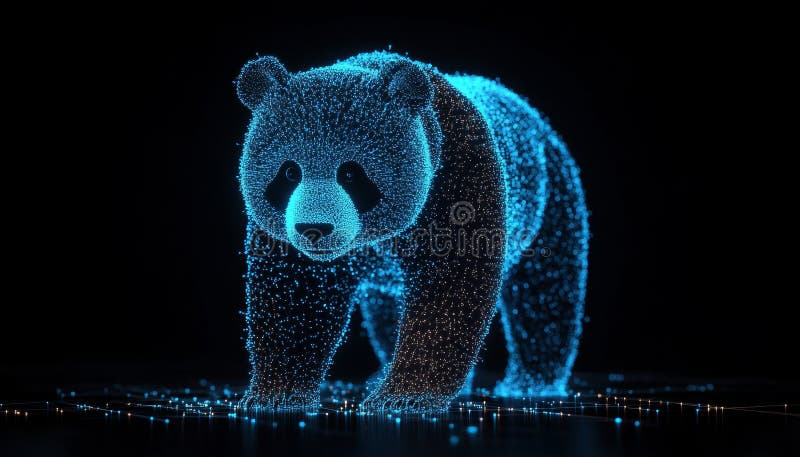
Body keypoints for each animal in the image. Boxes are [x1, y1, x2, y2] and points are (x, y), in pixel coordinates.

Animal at [236, 51, 589, 412]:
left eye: (351, 173)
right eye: (289, 172)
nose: (314, 229)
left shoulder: (457, 175)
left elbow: (451, 286)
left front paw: (405, 395)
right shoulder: (286, 236)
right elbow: (298, 294)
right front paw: (275, 394)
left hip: (554, 193)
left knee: (546, 290)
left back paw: (531, 382)